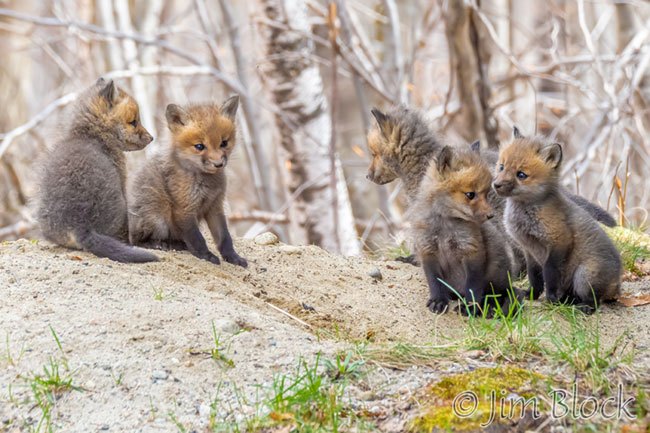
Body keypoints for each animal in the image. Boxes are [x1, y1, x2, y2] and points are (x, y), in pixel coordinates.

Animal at [127, 96, 247, 268]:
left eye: (224, 143)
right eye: (200, 146)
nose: (218, 164)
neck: (207, 184)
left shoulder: (215, 206)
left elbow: (225, 237)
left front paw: (233, 257)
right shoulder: (184, 208)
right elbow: (197, 238)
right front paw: (206, 256)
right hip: (157, 218)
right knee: (137, 241)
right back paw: (160, 244)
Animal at [406, 144, 523, 314]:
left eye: (486, 194)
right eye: (470, 194)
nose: (491, 215)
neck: (445, 227)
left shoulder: (472, 250)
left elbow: (472, 286)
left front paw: (470, 307)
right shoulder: (427, 250)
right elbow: (434, 282)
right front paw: (438, 301)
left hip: (496, 277)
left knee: (499, 294)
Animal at [492, 129, 622, 313]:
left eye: (521, 175)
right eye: (501, 166)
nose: (496, 184)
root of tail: (617, 283)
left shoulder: (559, 242)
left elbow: (550, 274)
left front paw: (551, 299)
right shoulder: (529, 250)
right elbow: (534, 277)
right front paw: (532, 295)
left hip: (583, 276)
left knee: (594, 301)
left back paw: (581, 307)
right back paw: (568, 300)